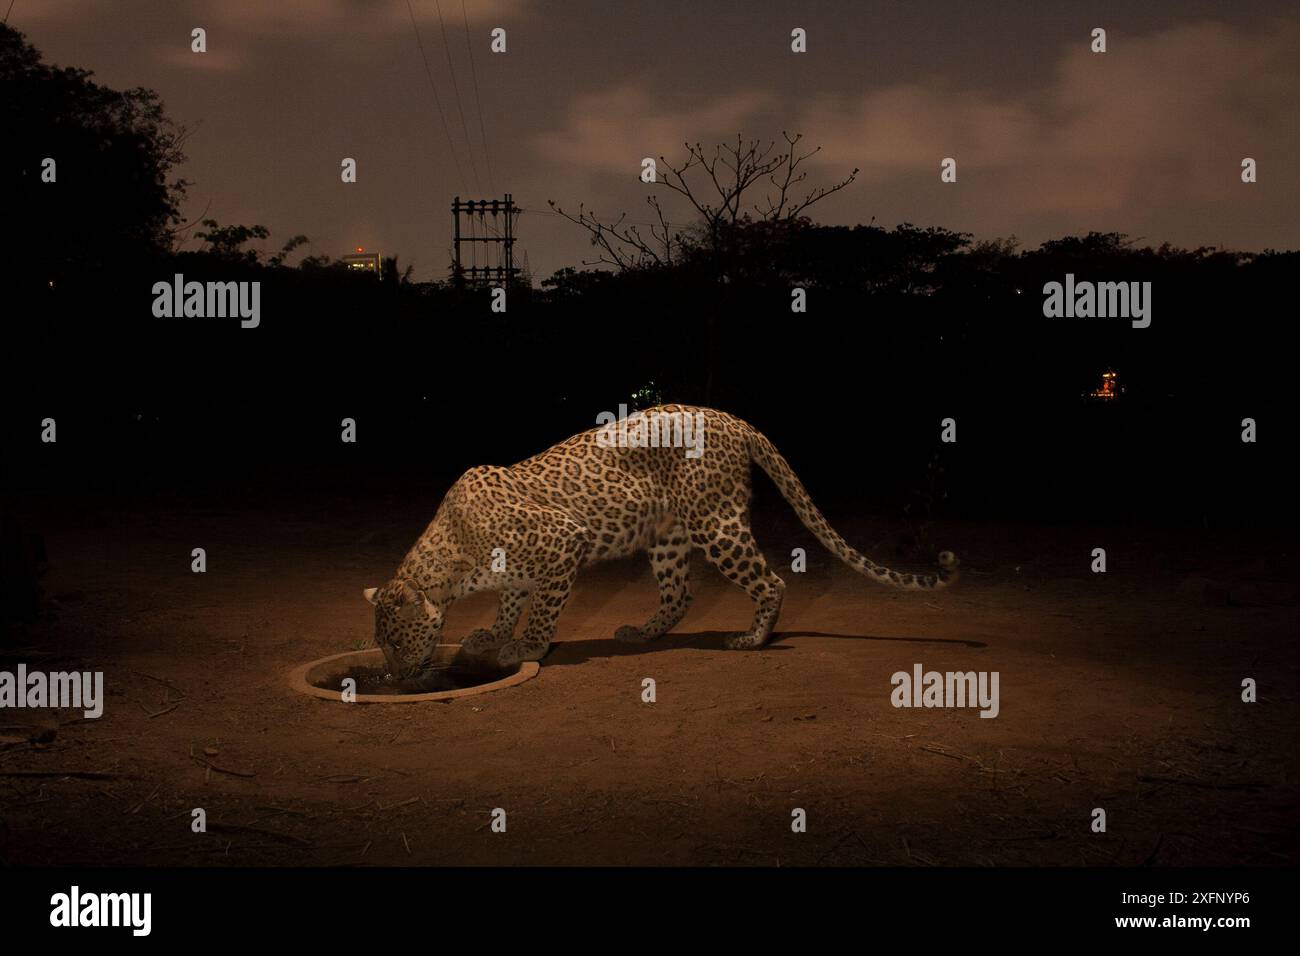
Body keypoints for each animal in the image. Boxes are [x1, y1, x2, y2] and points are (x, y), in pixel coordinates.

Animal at [363, 405, 958, 676]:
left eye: (397, 641)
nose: (395, 676)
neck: (454, 559)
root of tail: (735, 420)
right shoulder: (520, 568)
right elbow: (511, 599)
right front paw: (492, 632)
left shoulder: (563, 542)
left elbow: (543, 610)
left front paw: (527, 646)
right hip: (669, 538)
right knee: (680, 595)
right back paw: (642, 632)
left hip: (716, 525)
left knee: (772, 581)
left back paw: (752, 640)